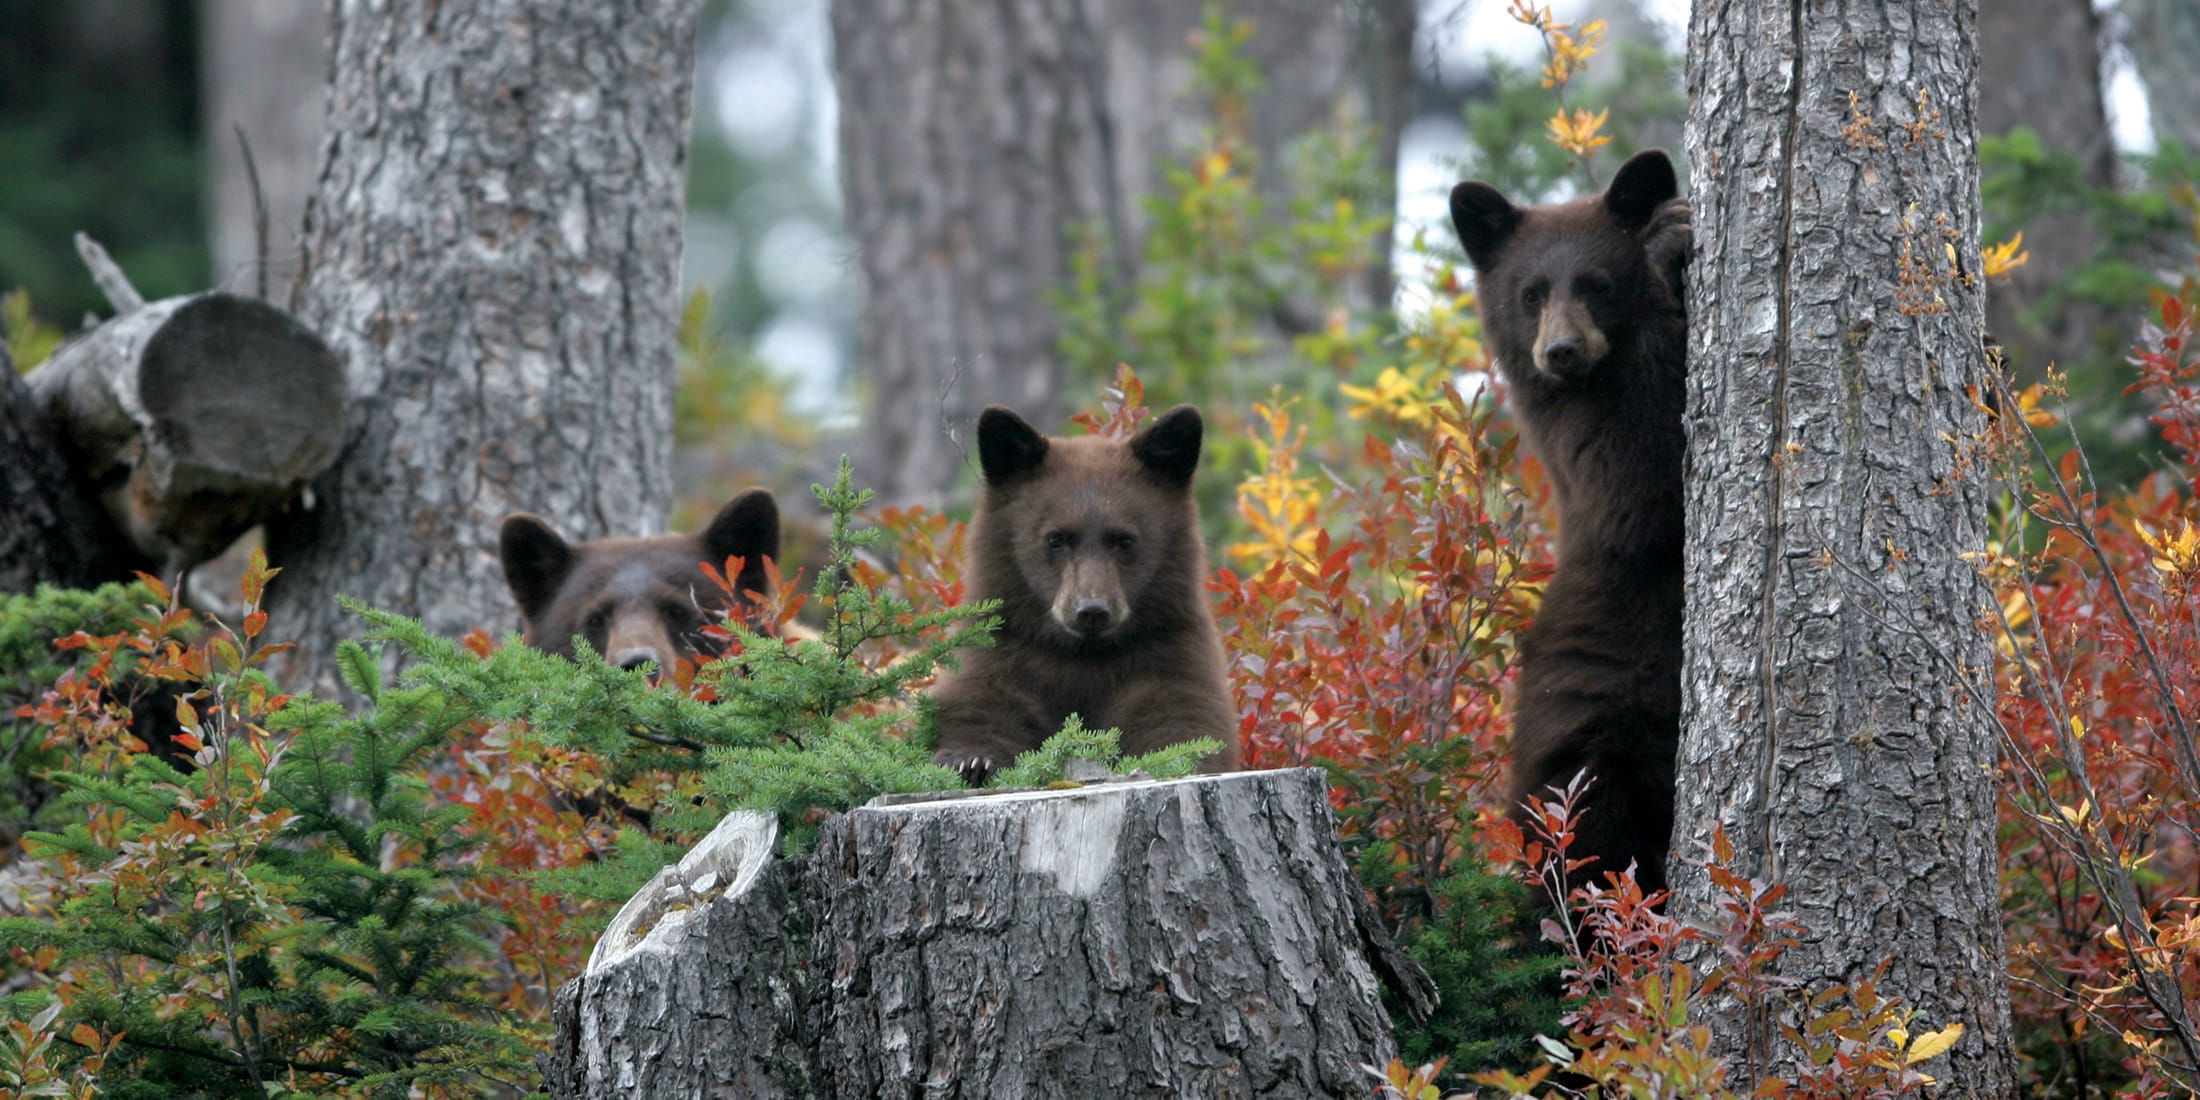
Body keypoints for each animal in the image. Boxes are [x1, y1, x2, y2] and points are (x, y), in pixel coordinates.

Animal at [928, 404, 1240, 783]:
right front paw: (968, 759)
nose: (1092, 610)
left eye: (1124, 540)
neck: (1083, 657)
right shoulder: (1001, 649)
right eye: (1055, 539)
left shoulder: (1171, 652)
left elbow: (1182, 719)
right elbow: (983, 704)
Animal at [1447, 148, 1691, 897]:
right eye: (1531, 292)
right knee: (1588, 849)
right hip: (1584, 732)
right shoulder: (1572, 439)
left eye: (1595, 283)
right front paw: (1666, 245)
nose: (1559, 350)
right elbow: (1639, 485)